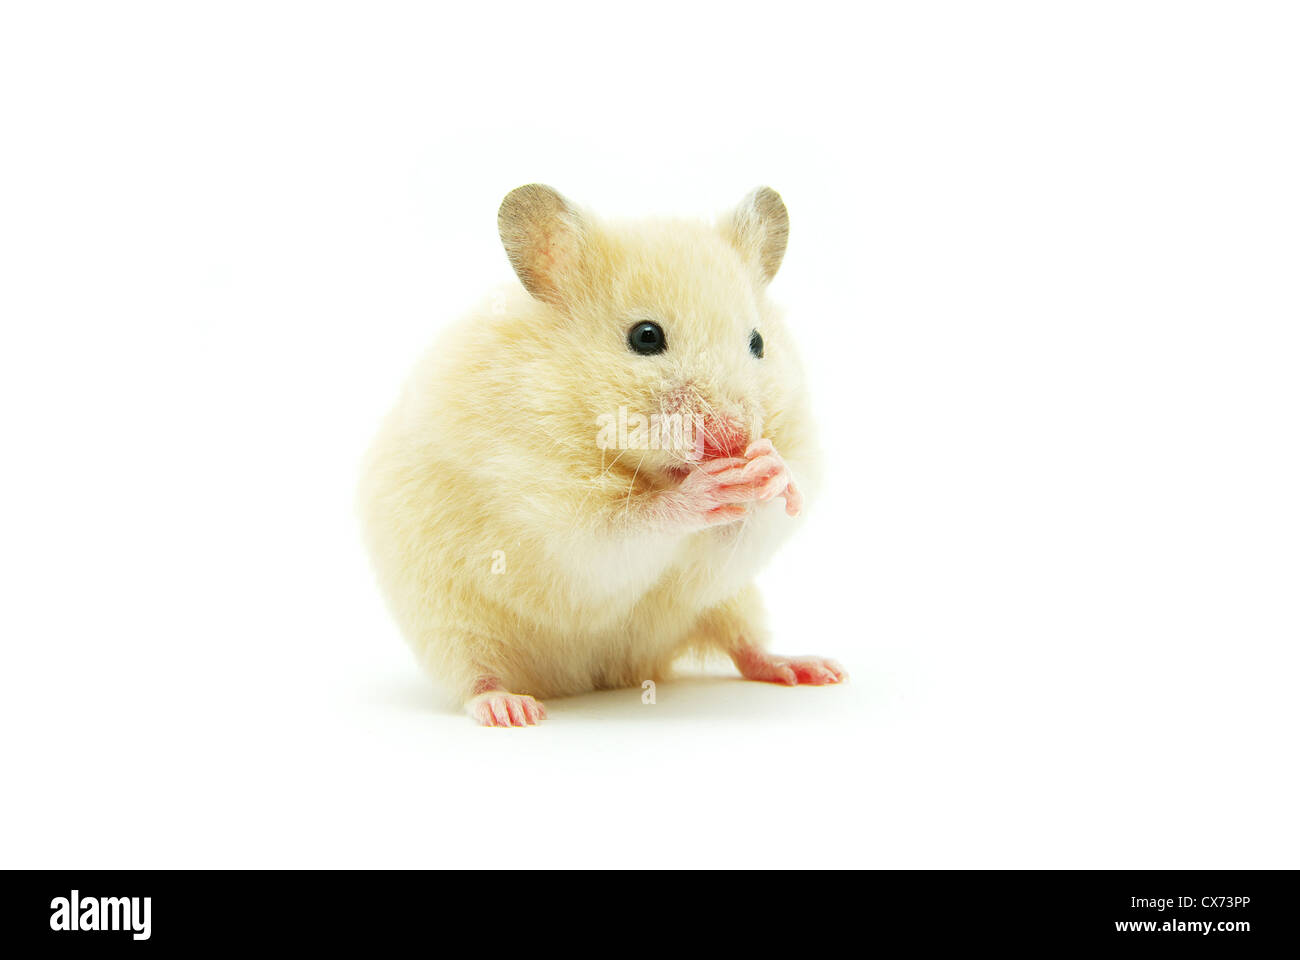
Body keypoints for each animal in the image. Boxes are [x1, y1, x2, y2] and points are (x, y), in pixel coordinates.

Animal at [359, 184, 845, 726]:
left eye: (758, 342)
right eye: (645, 336)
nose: (733, 440)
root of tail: (603, 675)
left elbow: (755, 523)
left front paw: (770, 468)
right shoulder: (554, 518)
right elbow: (628, 526)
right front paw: (705, 488)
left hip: (733, 601)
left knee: (745, 644)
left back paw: (812, 668)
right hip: (446, 624)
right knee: (473, 673)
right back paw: (511, 709)